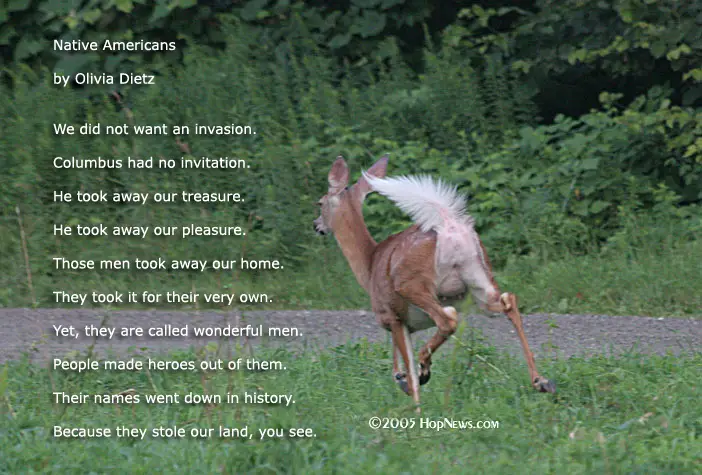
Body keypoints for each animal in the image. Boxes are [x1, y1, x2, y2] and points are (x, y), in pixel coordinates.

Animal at [313, 154, 555, 410]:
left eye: (320, 203)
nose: (316, 225)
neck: (369, 264)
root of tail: (450, 226)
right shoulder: (401, 324)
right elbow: (396, 365)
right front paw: (405, 383)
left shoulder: (391, 316)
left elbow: (404, 367)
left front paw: (416, 404)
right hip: (479, 281)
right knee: (508, 301)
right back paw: (541, 381)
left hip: (411, 284)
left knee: (448, 318)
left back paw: (424, 368)